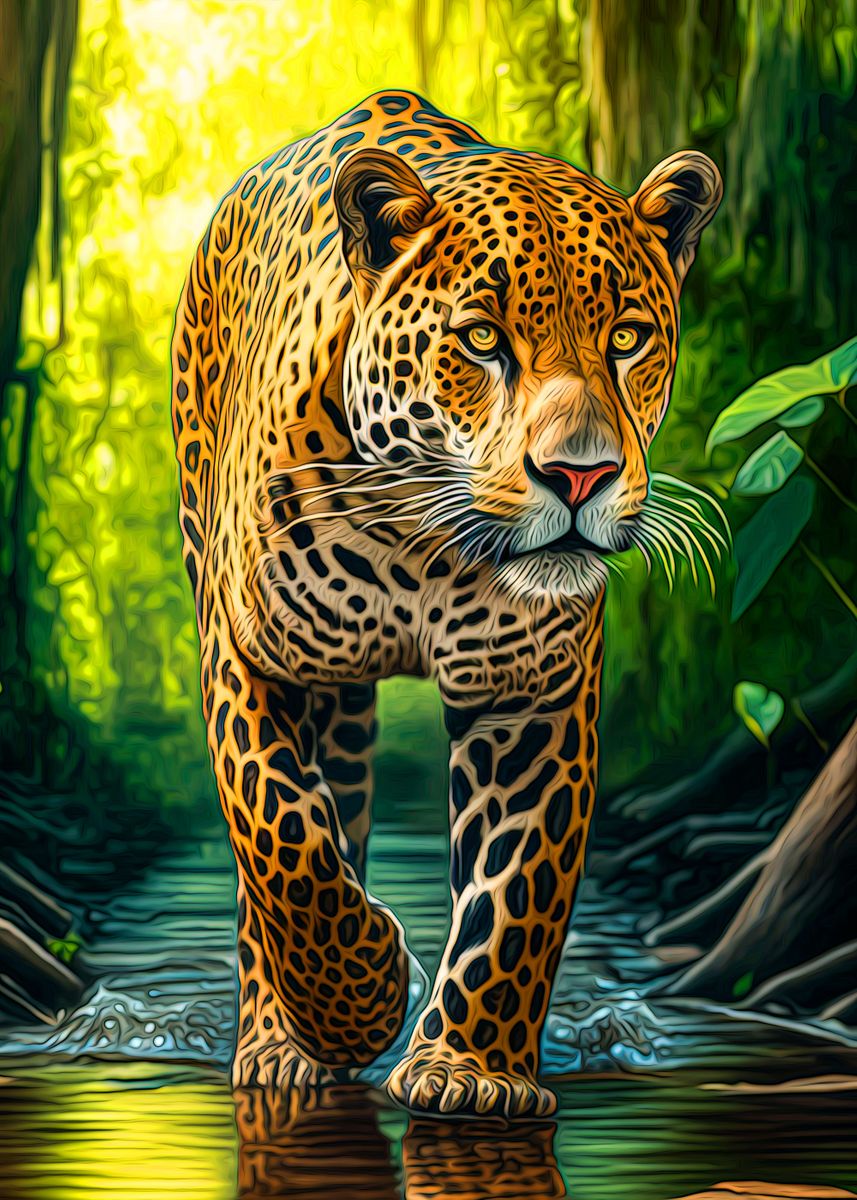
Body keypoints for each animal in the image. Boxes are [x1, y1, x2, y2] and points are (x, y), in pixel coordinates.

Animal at [171, 90, 721, 1120]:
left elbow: (515, 890)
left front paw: (472, 1071)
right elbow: (282, 838)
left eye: (626, 339)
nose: (579, 475)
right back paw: (278, 1041)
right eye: (481, 340)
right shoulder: (248, 654)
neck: (420, 544)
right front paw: (362, 1000)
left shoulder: (531, 694)